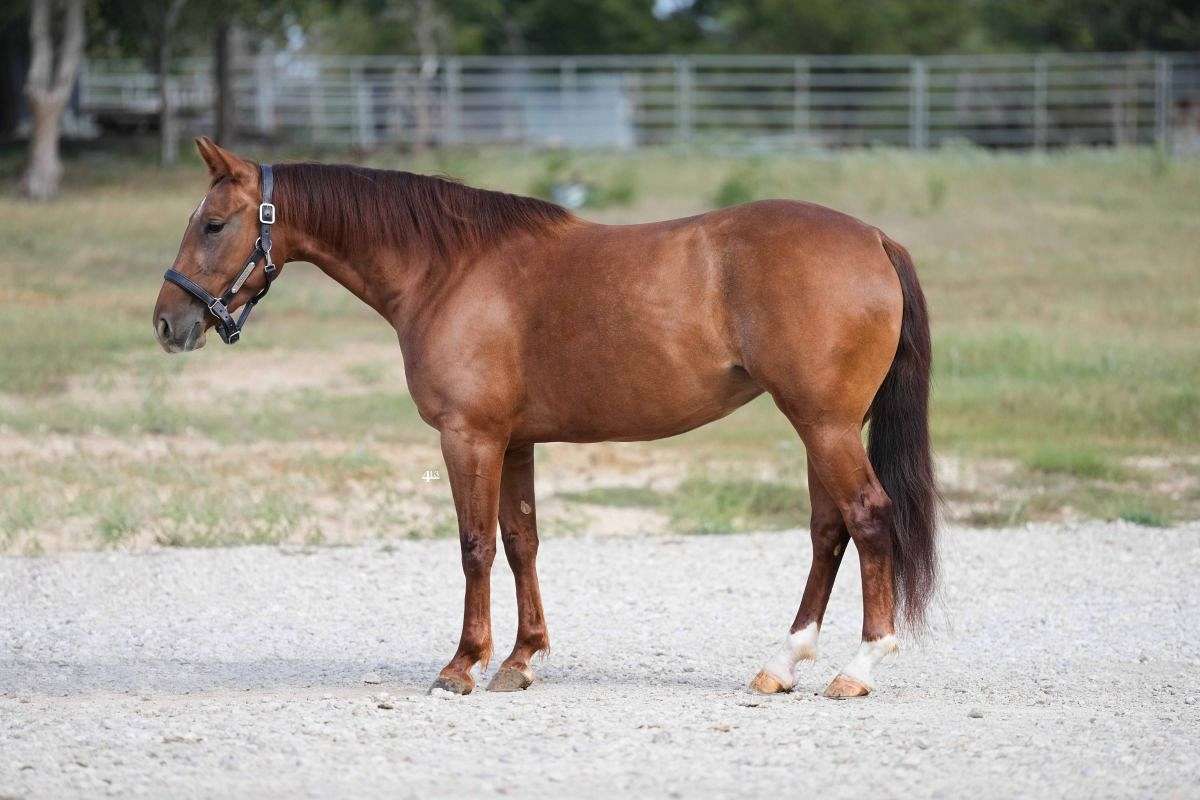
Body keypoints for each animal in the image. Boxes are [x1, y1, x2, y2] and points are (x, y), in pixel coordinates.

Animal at [153, 137, 938, 698]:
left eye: (214, 224)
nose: (168, 323)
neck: (451, 270)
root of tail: (873, 239)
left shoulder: (469, 437)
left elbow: (474, 546)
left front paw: (461, 665)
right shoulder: (516, 441)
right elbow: (521, 541)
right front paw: (521, 659)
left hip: (826, 425)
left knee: (868, 519)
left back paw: (858, 668)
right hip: (819, 426)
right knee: (829, 530)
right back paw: (783, 662)